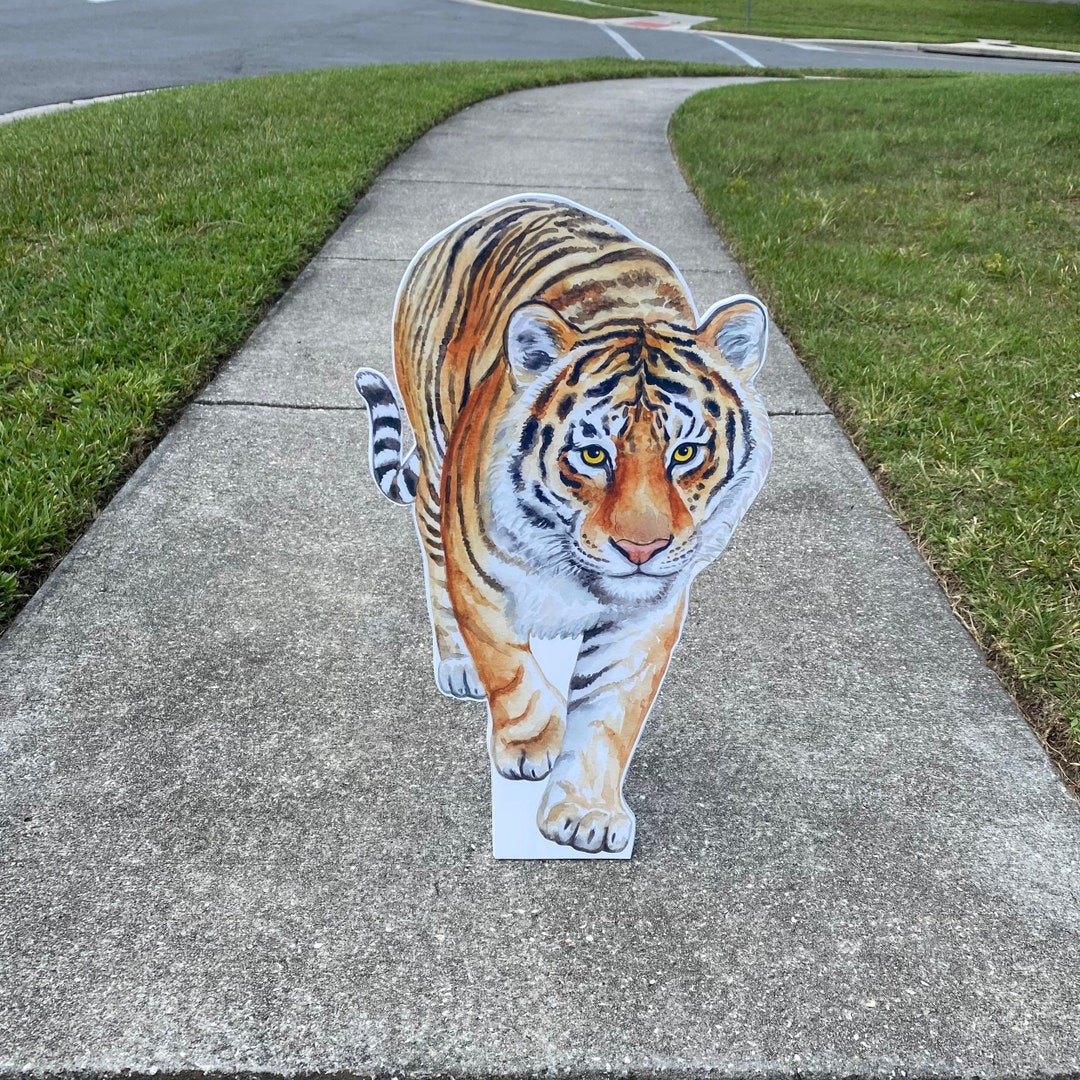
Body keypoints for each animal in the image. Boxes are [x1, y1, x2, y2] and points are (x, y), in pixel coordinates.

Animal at [355, 194, 771, 855]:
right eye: (594, 455)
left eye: (685, 453)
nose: (642, 549)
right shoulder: (481, 580)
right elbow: (513, 673)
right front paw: (530, 746)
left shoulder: (646, 612)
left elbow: (609, 713)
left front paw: (586, 815)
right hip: (435, 466)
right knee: (431, 547)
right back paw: (458, 667)